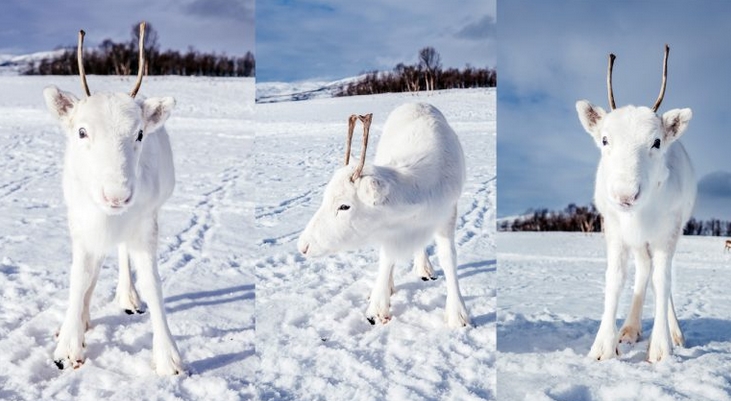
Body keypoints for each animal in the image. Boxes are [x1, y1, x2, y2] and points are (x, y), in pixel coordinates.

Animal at [43, 22, 183, 375]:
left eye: (140, 134)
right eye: (81, 131)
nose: (117, 195)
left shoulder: (146, 224)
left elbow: (152, 283)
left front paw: (169, 358)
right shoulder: (81, 223)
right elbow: (80, 277)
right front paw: (68, 345)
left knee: (120, 255)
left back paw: (127, 297)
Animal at [297, 103, 471, 328]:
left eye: (344, 206)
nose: (303, 246)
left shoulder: (447, 214)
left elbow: (448, 258)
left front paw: (458, 314)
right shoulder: (389, 230)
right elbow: (387, 258)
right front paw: (378, 307)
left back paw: (424, 269)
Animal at [576, 45, 696, 362]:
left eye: (656, 142)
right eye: (605, 140)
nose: (625, 196)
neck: (639, 215)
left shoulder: (668, 231)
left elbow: (663, 281)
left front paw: (661, 348)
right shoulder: (614, 228)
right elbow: (615, 279)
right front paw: (603, 348)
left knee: (660, 277)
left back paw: (674, 333)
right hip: (639, 243)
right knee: (643, 269)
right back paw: (630, 329)